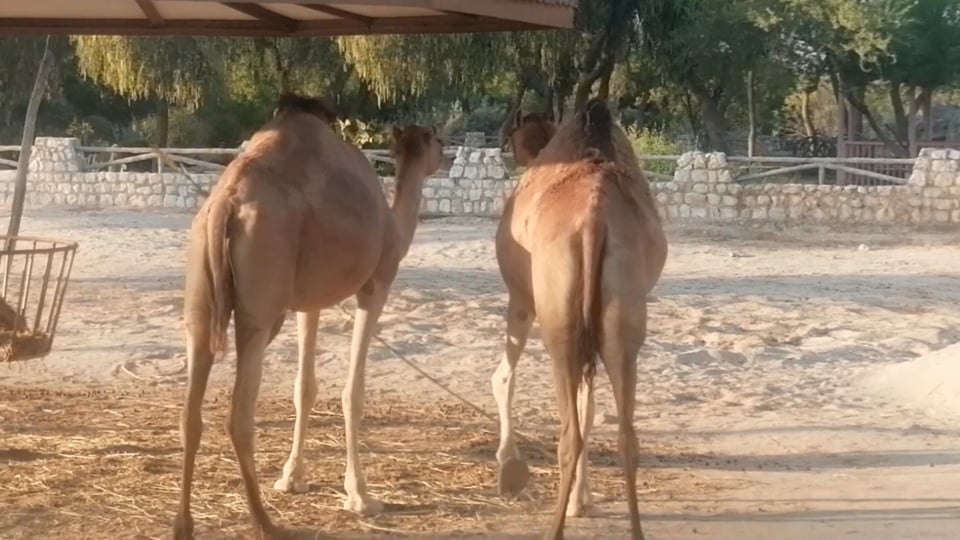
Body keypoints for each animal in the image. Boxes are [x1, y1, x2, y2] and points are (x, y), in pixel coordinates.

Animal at [172, 94, 443, 540]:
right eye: (439, 140)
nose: (448, 155)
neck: (394, 223)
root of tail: (225, 205)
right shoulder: (376, 285)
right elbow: (353, 392)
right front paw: (362, 497)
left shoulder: (308, 302)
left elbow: (305, 387)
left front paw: (292, 478)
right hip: (260, 308)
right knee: (239, 414)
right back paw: (265, 522)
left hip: (200, 296)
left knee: (190, 409)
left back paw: (184, 523)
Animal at [492, 98, 668, 540]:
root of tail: (593, 221)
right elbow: (590, 407)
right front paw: (582, 500)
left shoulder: (521, 298)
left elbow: (504, 378)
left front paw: (509, 464)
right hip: (620, 320)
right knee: (624, 436)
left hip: (557, 326)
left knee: (568, 434)